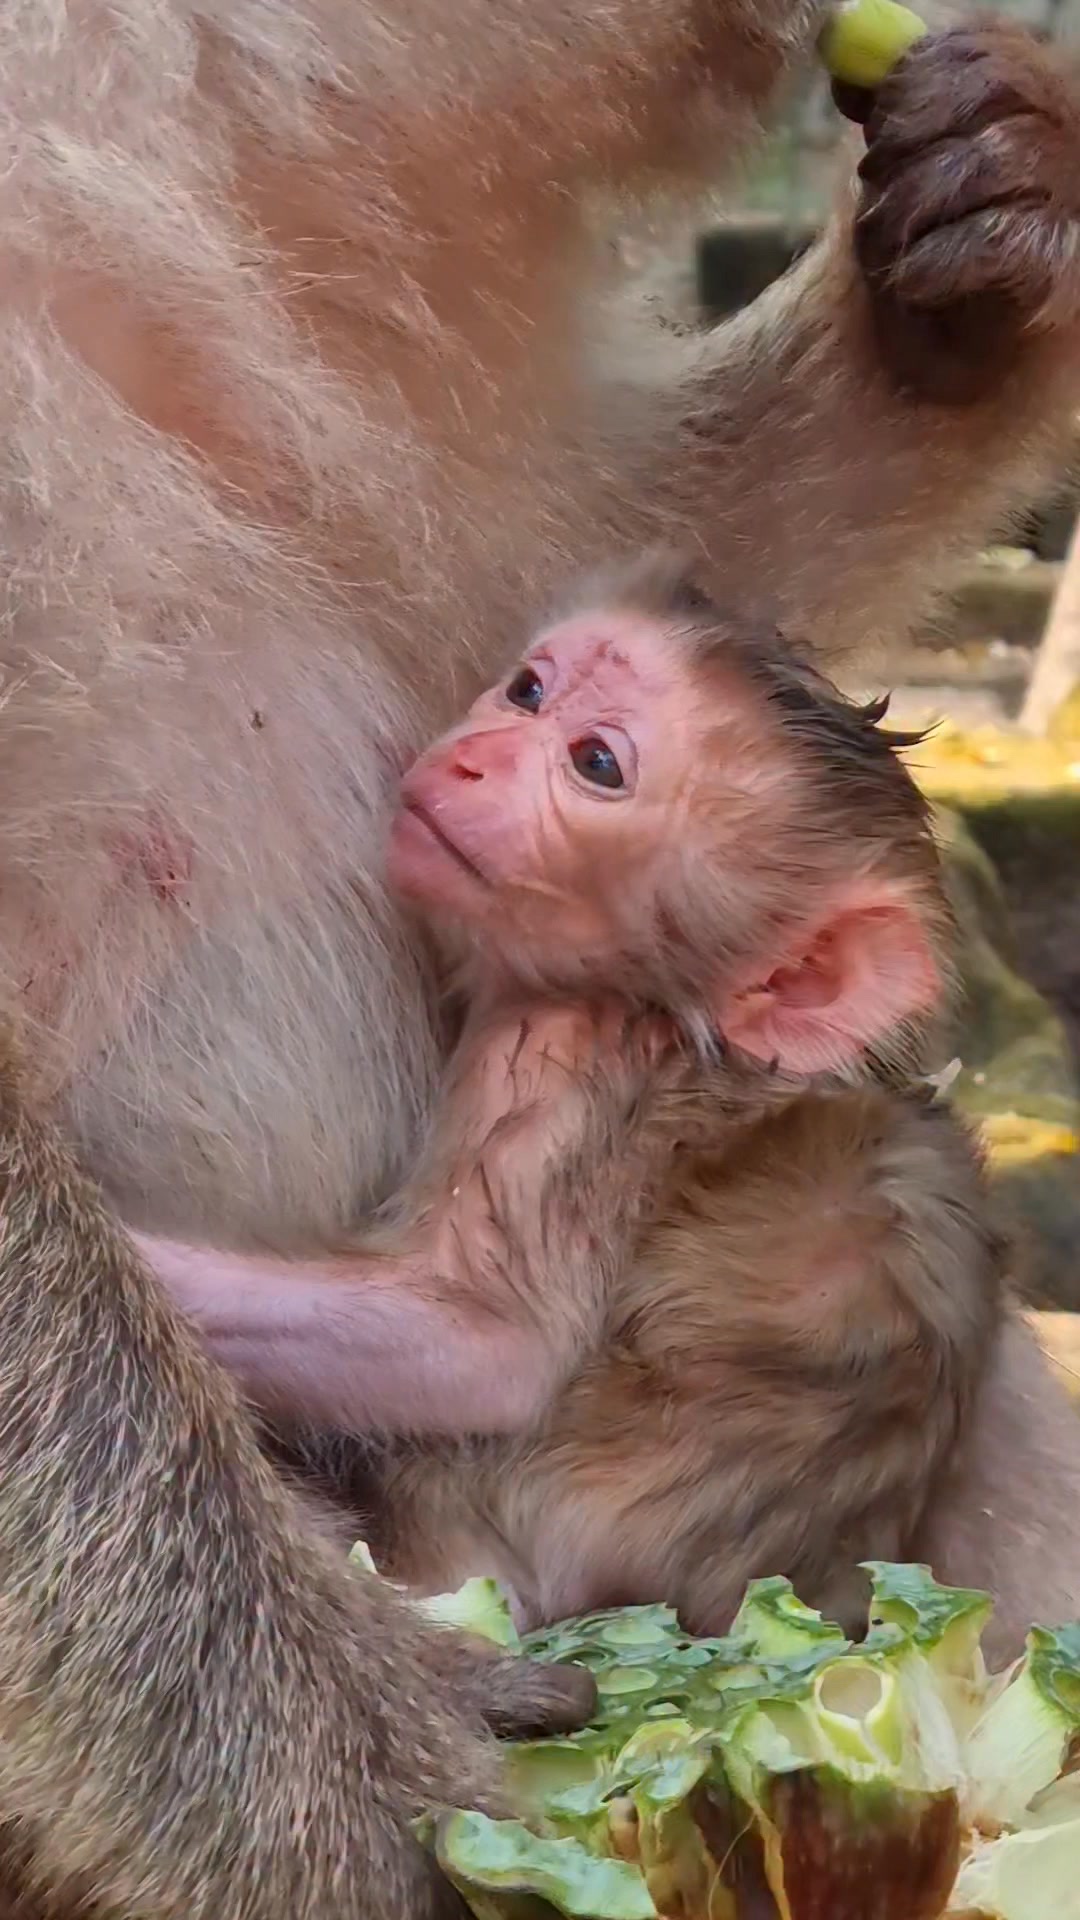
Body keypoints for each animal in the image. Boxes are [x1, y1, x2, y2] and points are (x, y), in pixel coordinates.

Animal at [140, 553, 1004, 1642]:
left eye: (597, 765)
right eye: (528, 692)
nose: (475, 758)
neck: (666, 1016)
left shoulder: (560, 1063)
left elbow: (482, 1349)